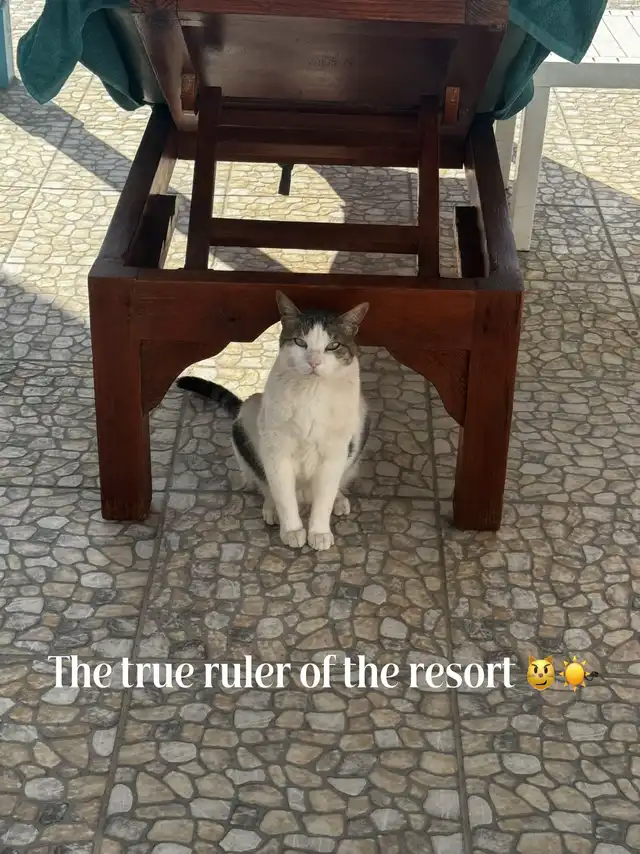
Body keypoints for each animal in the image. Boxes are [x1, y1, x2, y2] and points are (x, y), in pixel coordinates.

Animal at [177, 291, 370, 551]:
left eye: (333, 346)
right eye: (300, 342)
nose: (314, 362)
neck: (312, 392)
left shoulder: (334, 452)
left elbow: (325, 496)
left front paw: (319, 531)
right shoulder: (277, 450)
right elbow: (283, 494)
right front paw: (292, 530)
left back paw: (338, 500)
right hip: (248, 416)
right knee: (265, 483)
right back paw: (272, 509)